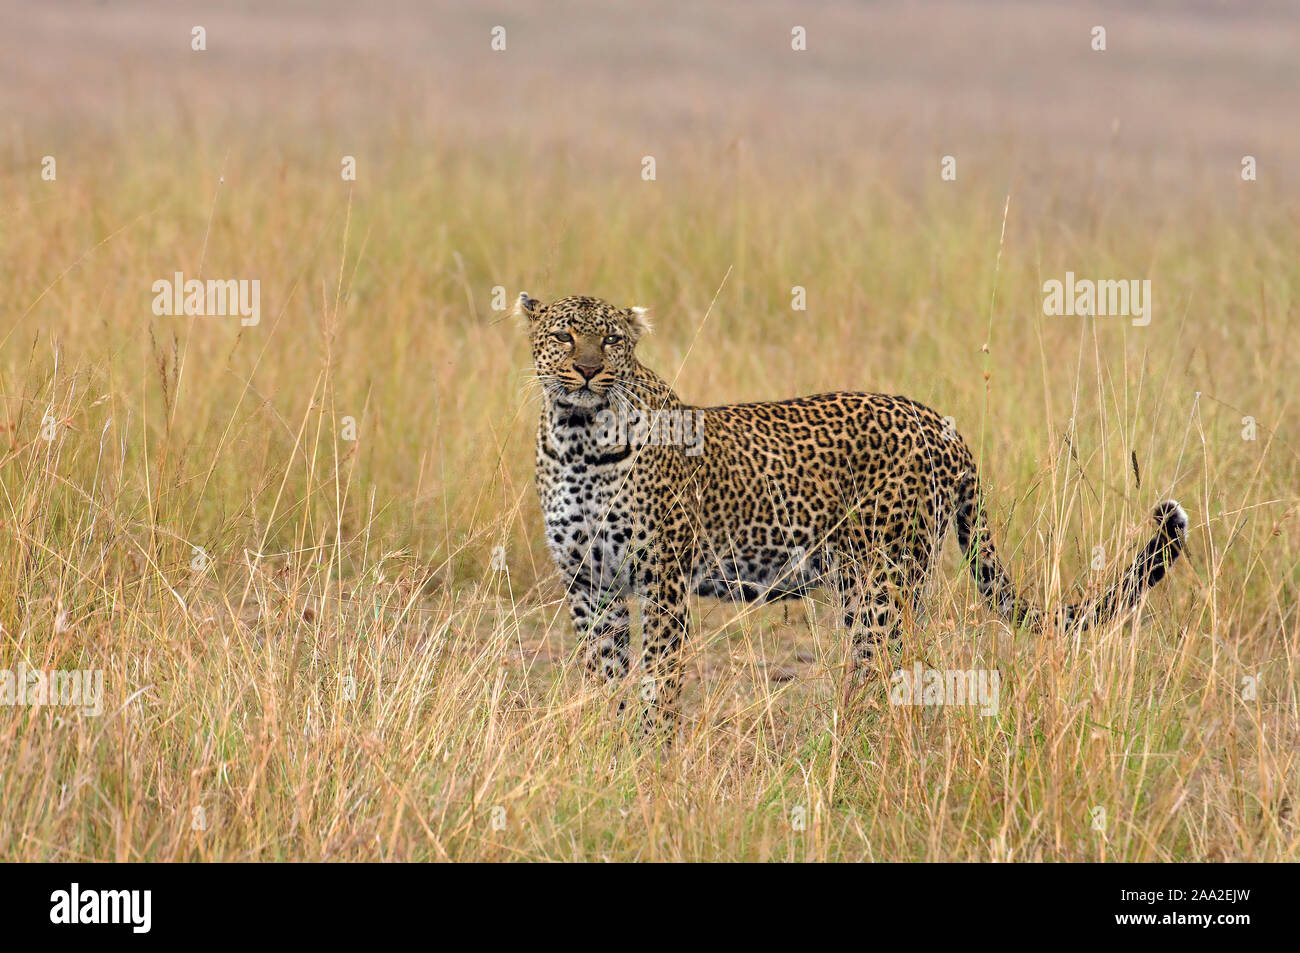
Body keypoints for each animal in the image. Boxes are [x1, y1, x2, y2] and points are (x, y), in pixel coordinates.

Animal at [521, 292, 1188, 742]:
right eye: (564, 336)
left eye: (610, 340)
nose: (587, 371)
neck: (578, 438)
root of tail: (941, 423)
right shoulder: (589, 584)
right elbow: (604, 673)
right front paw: (607, 742)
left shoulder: (662, 580)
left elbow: (660, 675)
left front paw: (651, 750)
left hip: (881, 579)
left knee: (889, 667)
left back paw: (858, 744)